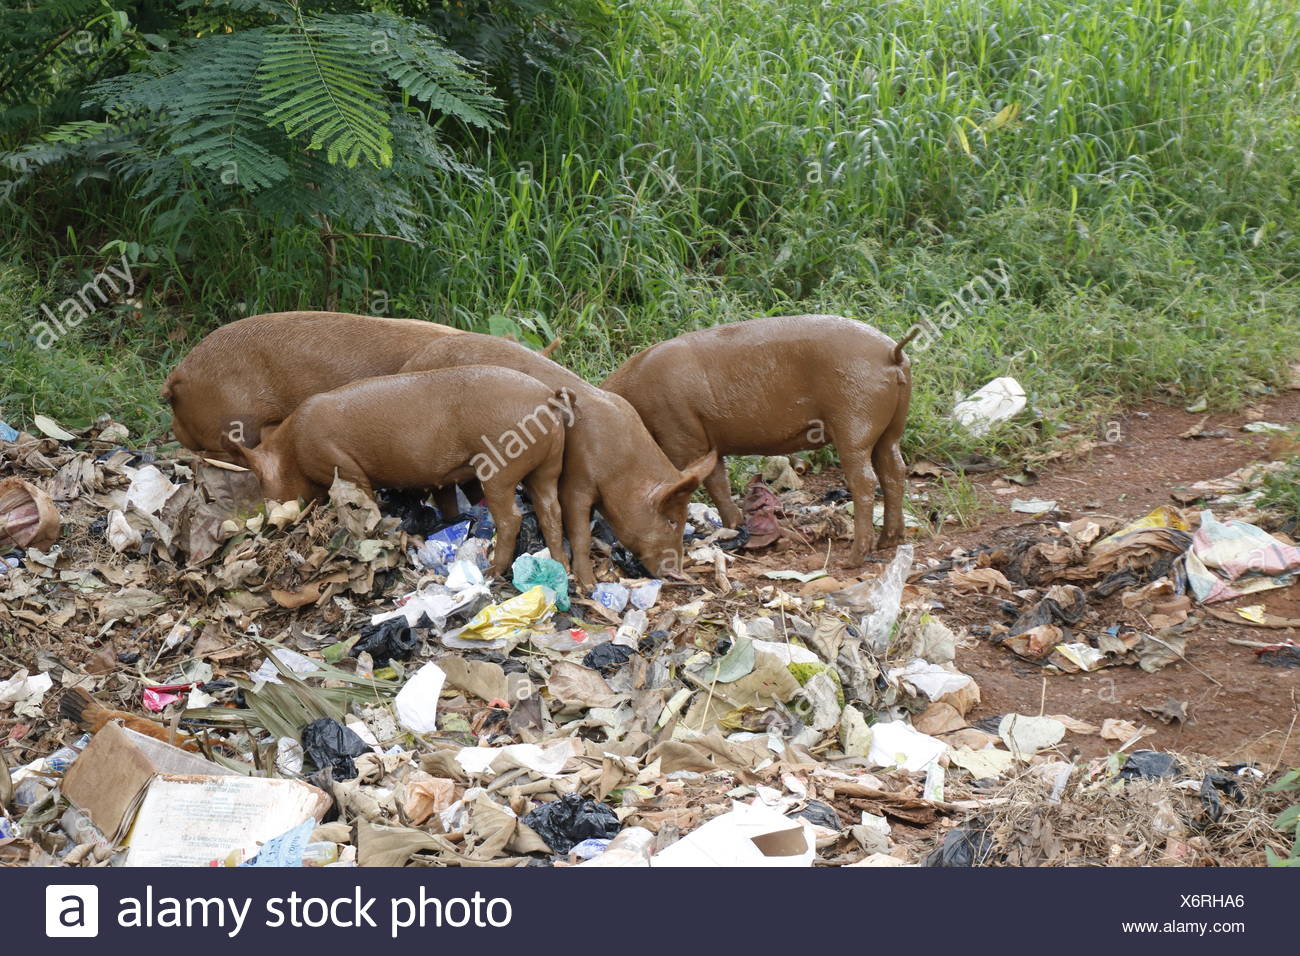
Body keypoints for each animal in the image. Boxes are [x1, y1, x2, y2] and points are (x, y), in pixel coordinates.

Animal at [239, 366, 570, 577]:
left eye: (263, 485)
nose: (269, 523)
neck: (292, 449)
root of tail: (546, 398)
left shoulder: (343, 466)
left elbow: (364, 499)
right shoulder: (442, 482)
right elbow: (448, 503)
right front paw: (450, 524)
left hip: (500, 465)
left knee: (511, 517)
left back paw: (492, 571)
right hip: (549, 466)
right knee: (551, 510)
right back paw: (562, 567)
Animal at [398, 334, 716, 588]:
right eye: (672, 521)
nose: (677, 572)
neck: (621, 465)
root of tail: (413, 361)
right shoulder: (576, 482)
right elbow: (579, 532)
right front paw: (588, 584)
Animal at [600, 315, 916, 565]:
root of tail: (892, 353)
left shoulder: (681, 437)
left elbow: (700, 481)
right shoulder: (709, 445)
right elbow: (718, 482)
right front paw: (735, 527)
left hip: (854, 418)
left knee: (865, 479)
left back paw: (853, 559)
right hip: (892, 427)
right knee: (894, 469)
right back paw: (890, 541)